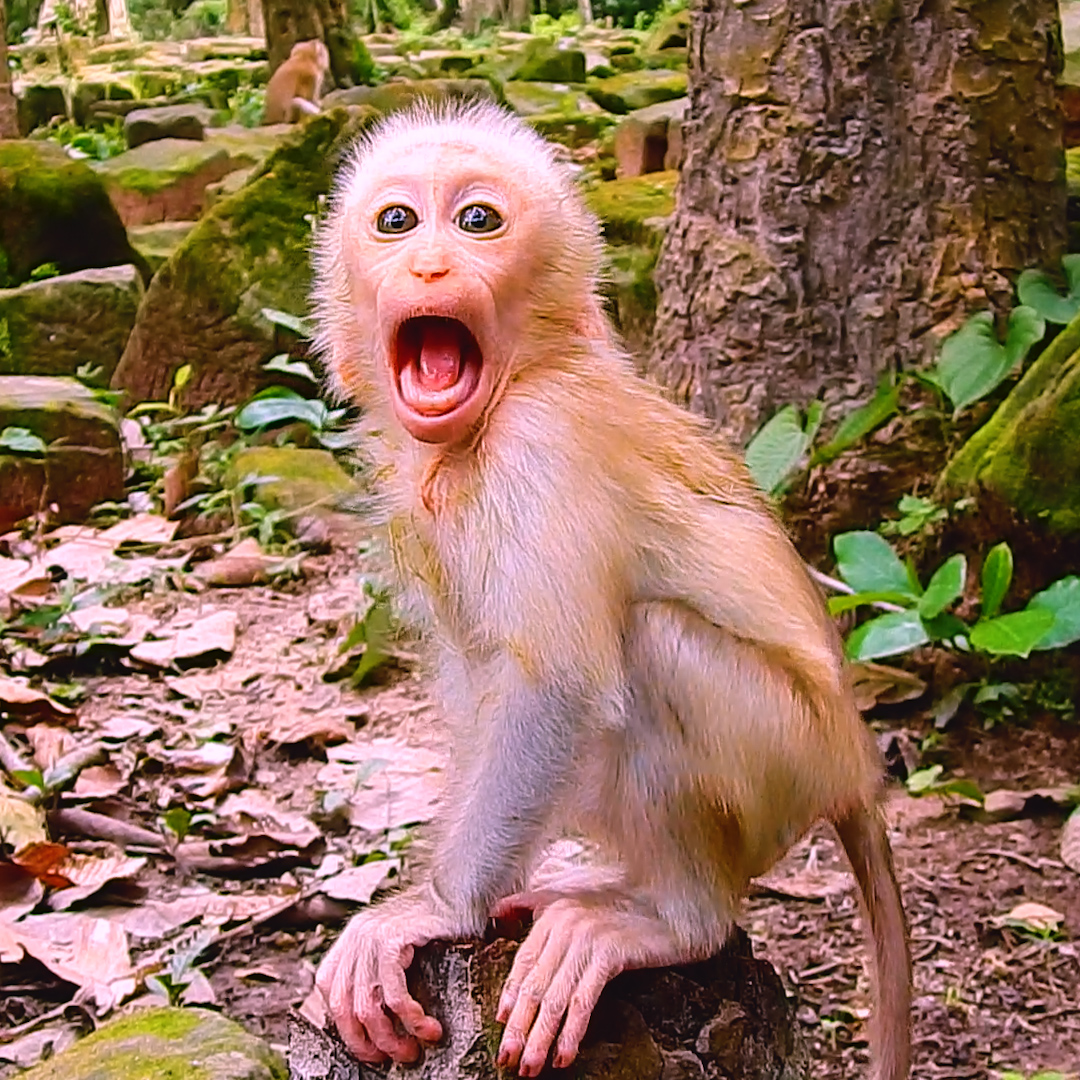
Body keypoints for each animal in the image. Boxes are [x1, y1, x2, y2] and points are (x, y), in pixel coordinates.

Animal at [311, 102, 912, 1080]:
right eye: (396, 221)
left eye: (478, 220)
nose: (429, 265)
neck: (509, 394)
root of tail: (858, 771)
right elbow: (484, 677)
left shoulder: (543, 443)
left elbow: (551, 685)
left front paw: (436, 908)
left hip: (790, 762)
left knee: (653, 645)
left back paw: (676, 921)